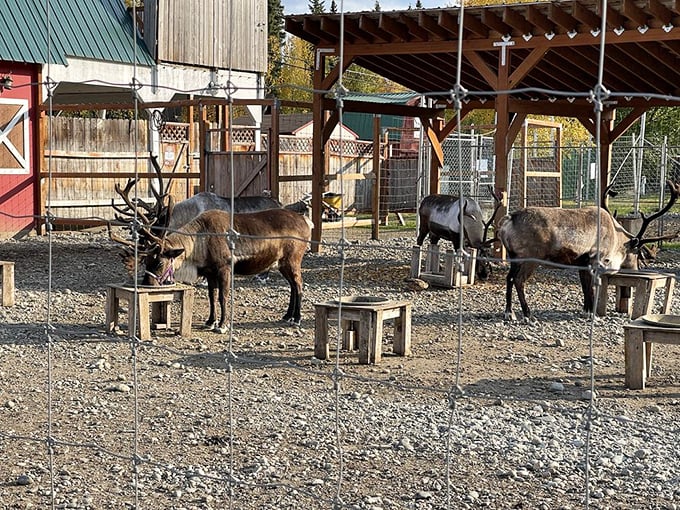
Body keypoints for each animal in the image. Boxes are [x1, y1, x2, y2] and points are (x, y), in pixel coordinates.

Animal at [498, 180, 680, 321]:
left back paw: (509, 313)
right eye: (637, 253)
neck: (616, 237)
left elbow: (585, 285)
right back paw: (528, 314)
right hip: (530, 259)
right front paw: (593, 314)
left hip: (514, 257)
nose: (636, 269)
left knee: (509, 278)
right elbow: (592, 288)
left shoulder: (582, 263)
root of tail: (510, 219)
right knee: (519, 280)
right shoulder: (595, 260)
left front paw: (586, 311)